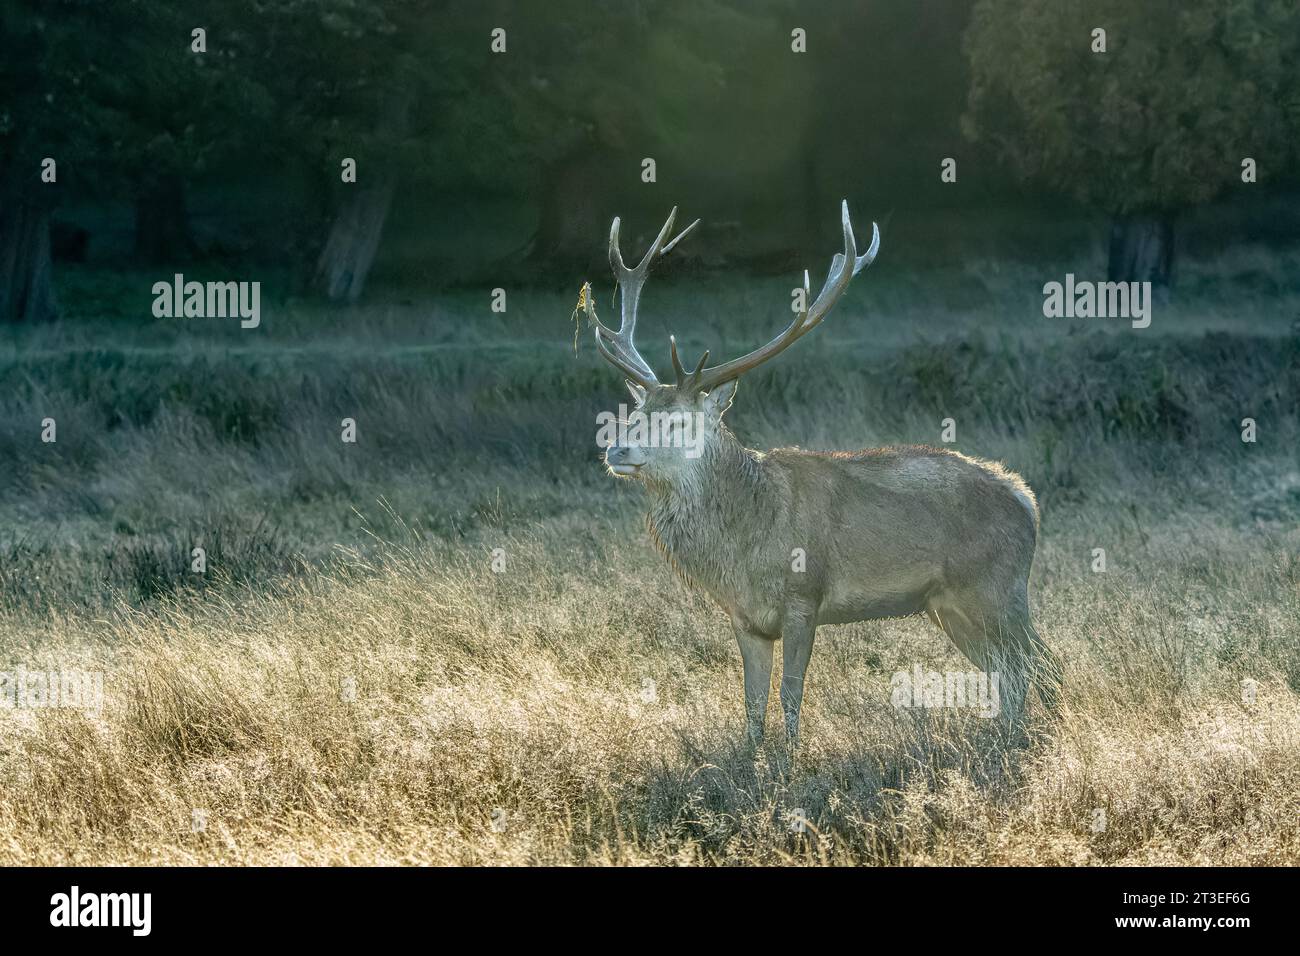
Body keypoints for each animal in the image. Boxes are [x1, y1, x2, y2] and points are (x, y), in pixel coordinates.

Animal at [589, 202, 1062, 745]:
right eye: (636, 411)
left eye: (680, 421)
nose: (616, 448)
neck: (747, 545)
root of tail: (1027, 500)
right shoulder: (745, 618)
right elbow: (752, 706)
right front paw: (753, 761)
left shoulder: (804, 597)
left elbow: (791, 696)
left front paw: (791, 761)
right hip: (950, 606)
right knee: (1008, 671)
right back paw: (1006, 740)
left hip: (999, 588)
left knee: (1044, 665)